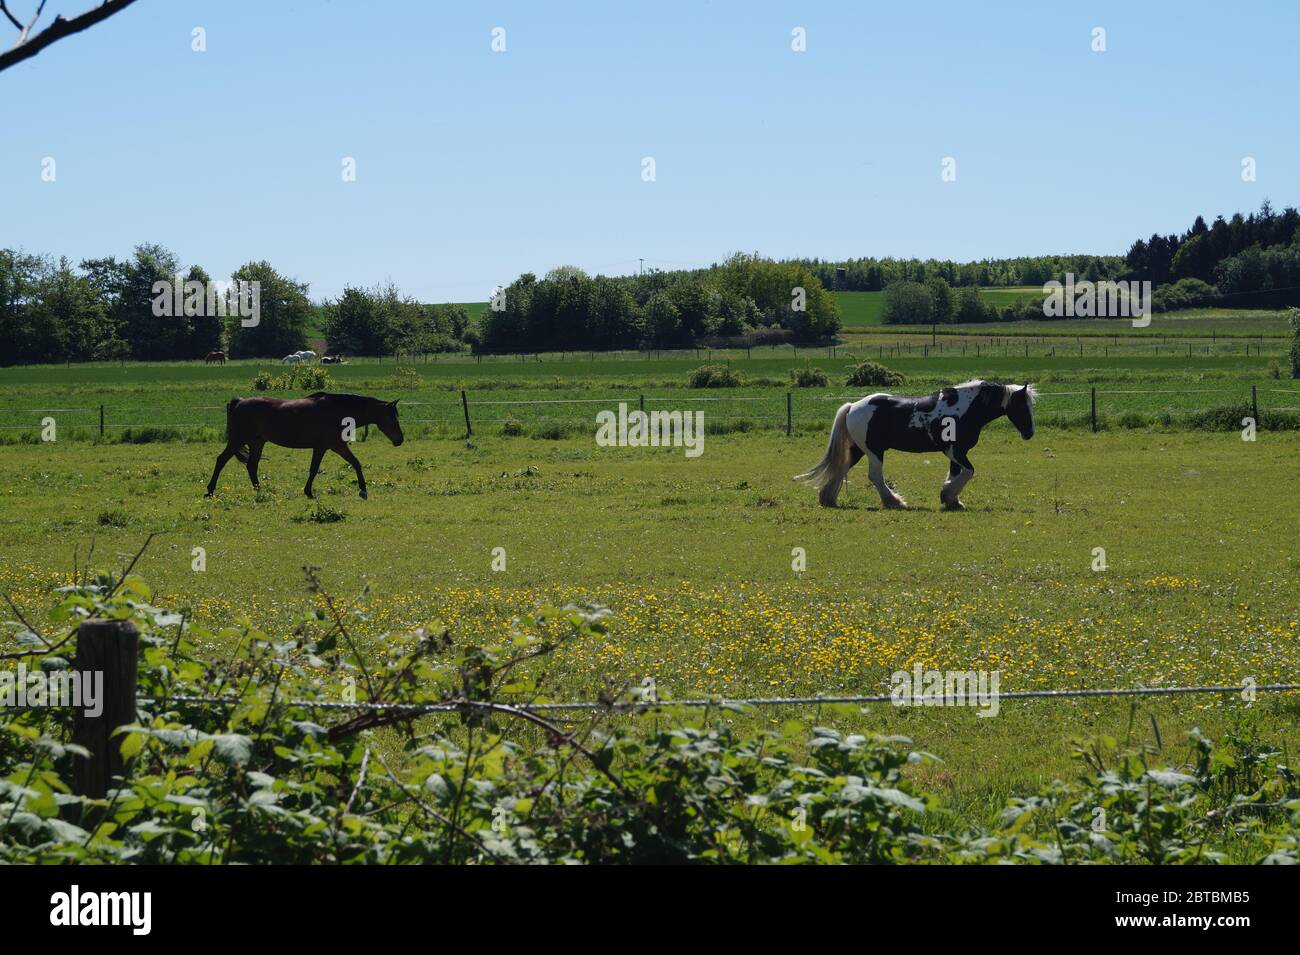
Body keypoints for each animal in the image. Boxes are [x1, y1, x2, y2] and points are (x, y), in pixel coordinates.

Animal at [205, 392, 404, 500]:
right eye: (392, 417)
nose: (399, 440)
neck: (338, 411)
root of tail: (240, 402)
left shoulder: (327, 447)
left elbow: (345, 464)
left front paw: (308, 492)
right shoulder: (332, 446)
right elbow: (344, 465)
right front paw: (363, 491)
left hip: (257, 442)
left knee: (251, 466)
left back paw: (260, 490)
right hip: (238, 440)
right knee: (221, 460)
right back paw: (210, 491)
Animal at [795, 380, 1036, 511]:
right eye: (1021, 405)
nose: (1029, 433)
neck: (965, 409)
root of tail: (853, 405)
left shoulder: (955, 454)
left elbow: (956, 474)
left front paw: (952, 500)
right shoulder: (955, 451)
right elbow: (968, 472)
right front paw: (947, 495)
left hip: (858, 450)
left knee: (840, 467)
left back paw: (828, 499)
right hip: (874, 451)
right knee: (875, 476)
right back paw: (894, 501)